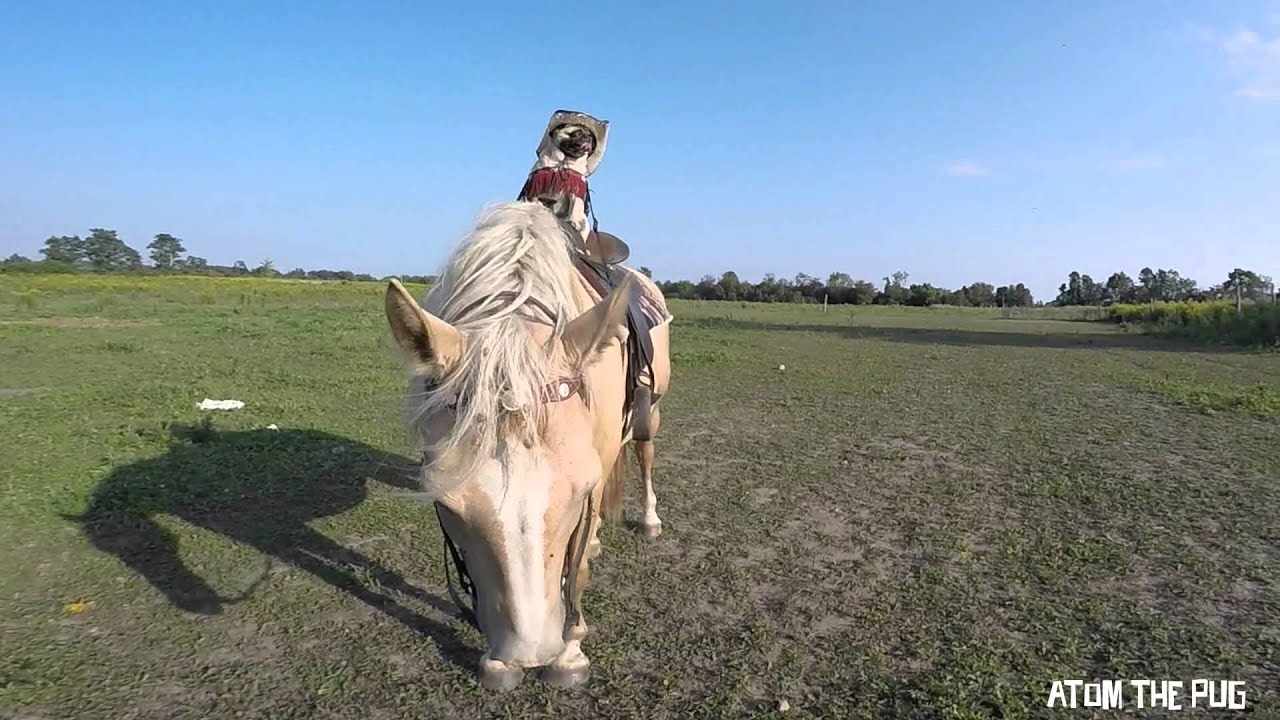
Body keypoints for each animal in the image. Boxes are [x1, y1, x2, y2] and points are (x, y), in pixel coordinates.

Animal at [383, 200, 672, 691]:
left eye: (578, 491)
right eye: (446, 503)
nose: (529, 654)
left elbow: (577, 572)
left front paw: (570, 656)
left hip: (648, 413)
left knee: (645, 454)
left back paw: (649, 521)